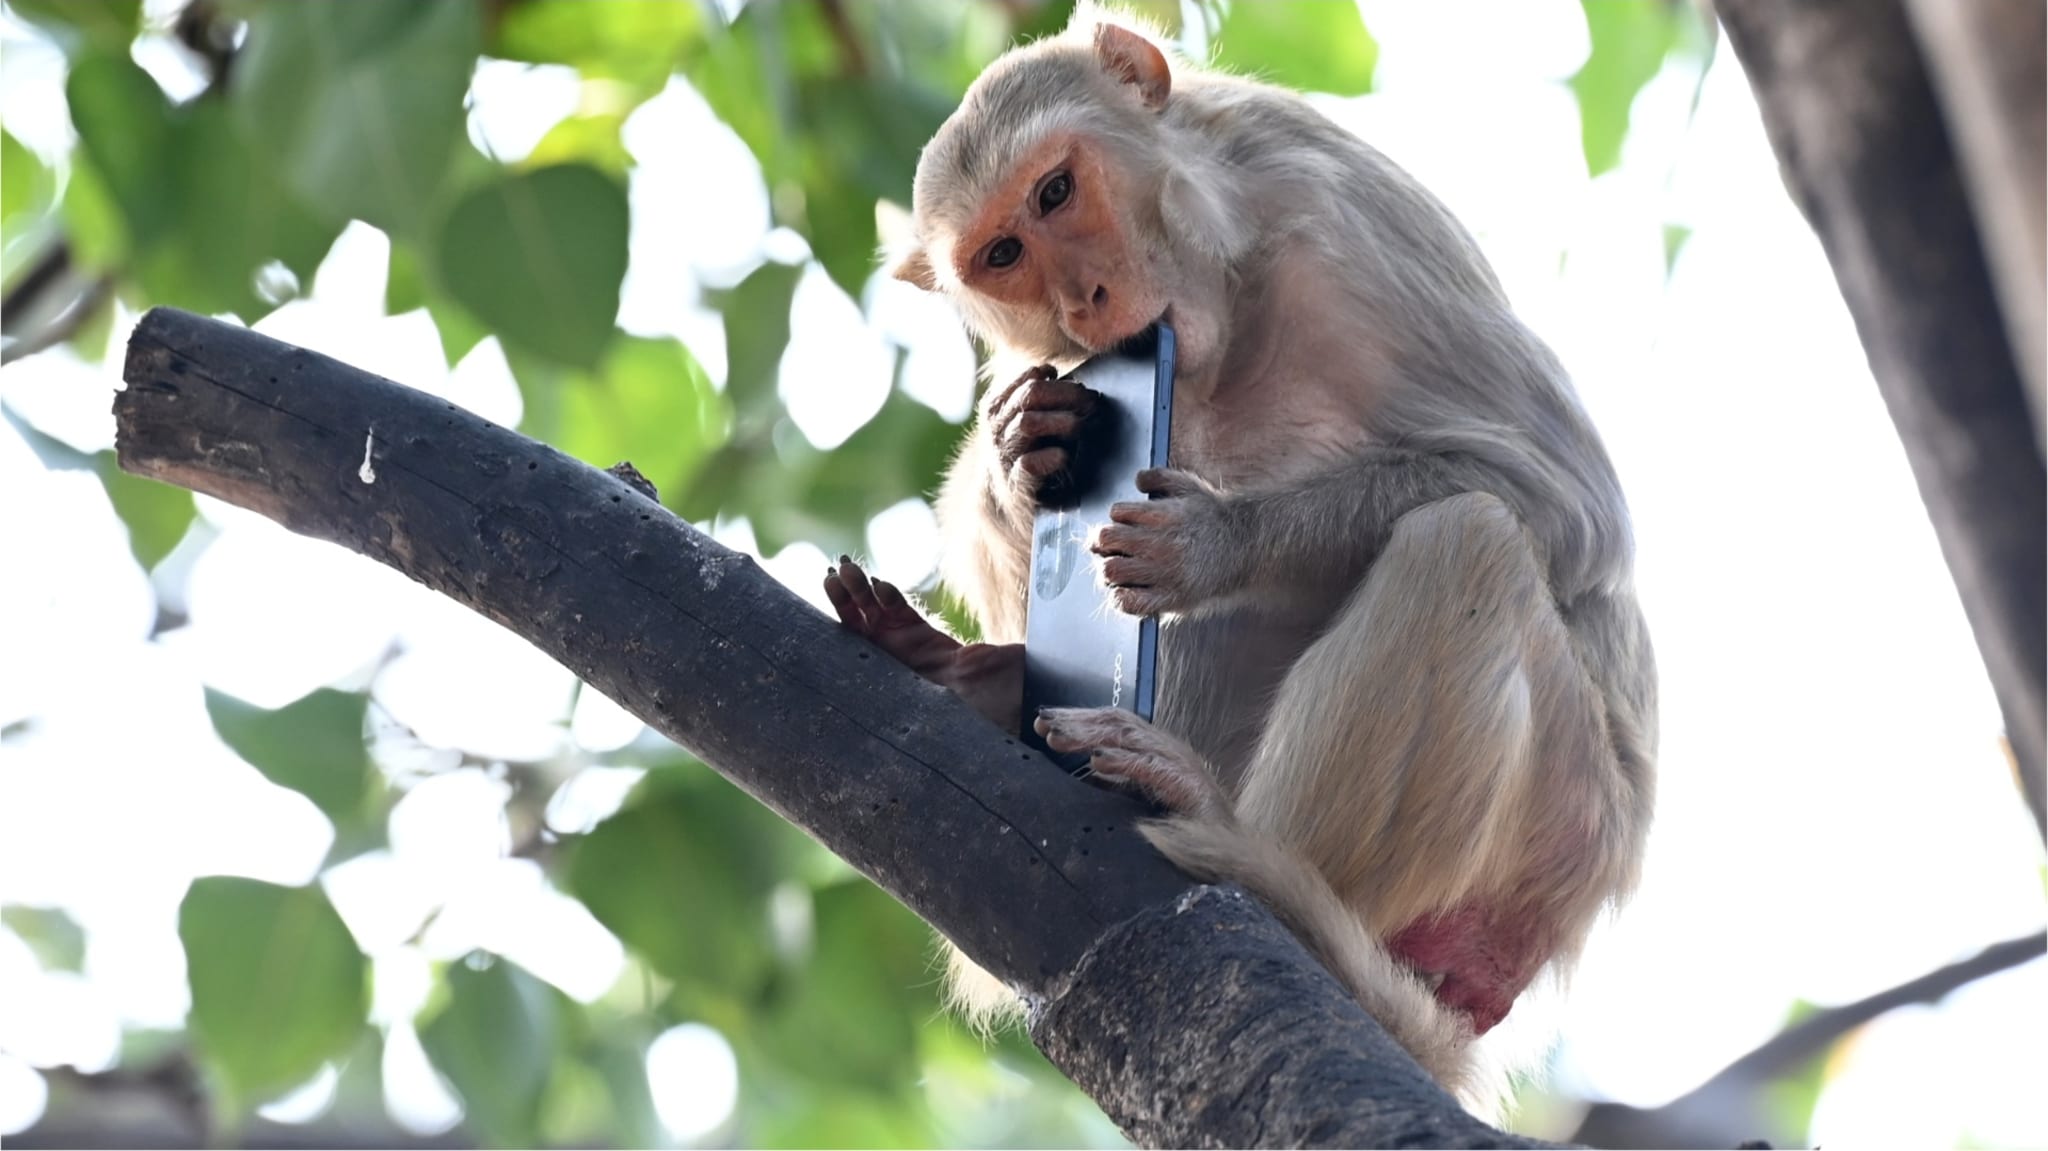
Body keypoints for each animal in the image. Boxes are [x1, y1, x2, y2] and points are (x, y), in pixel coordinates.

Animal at [823, 8, 1657, 1108]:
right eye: (1002, 252)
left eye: (1056, 191)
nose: (1085, 300)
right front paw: (1018, 448)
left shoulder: (1339, 216)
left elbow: (1563, 501)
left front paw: (1216, 543)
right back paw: (970, 681)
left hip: (1560, 832)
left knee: (1468, 543)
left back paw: (1217, 819)